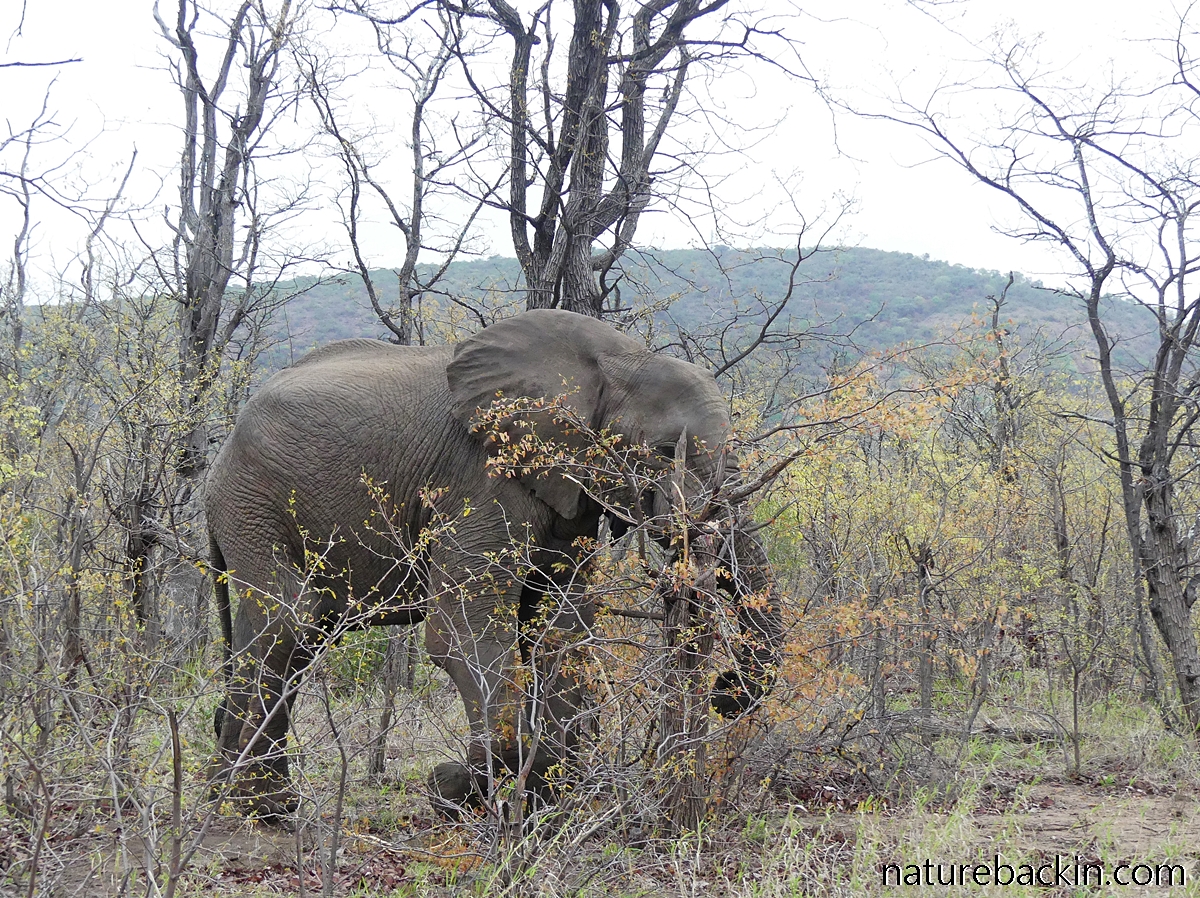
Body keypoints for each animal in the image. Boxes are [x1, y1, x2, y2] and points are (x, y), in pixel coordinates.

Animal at [205, 308, 781, 820]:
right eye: (664, 450)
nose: (725, 690)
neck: (618, 359)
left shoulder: (566, 494)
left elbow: (560, 628)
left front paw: (546, 804)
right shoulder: (483, 478)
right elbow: (461, 629)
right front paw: (453, 789)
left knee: (297, 633)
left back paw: (228, 799)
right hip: (253, 498)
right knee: (289, 620)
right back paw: (263, 810)